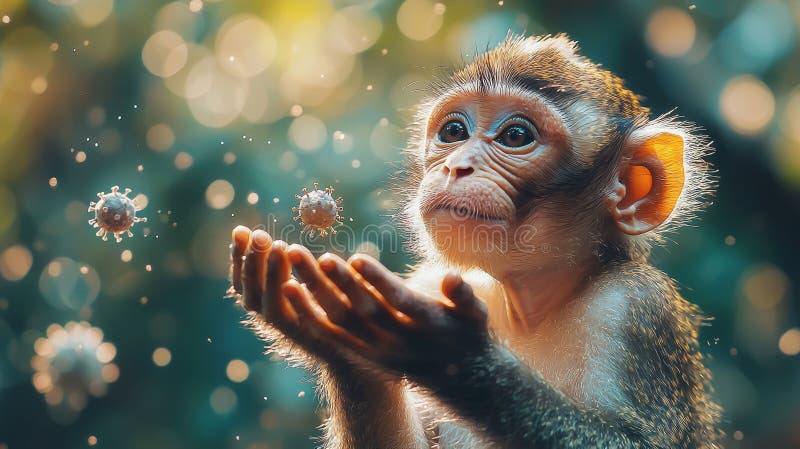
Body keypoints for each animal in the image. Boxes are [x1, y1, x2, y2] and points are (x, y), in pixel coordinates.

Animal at [229, 34, 721, 449]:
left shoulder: (634, 306)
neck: (530, 307)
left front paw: (456, 358)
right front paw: (343, 348)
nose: (456, 166)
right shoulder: (432, 281)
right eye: (453, 132)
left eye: (516, 136)